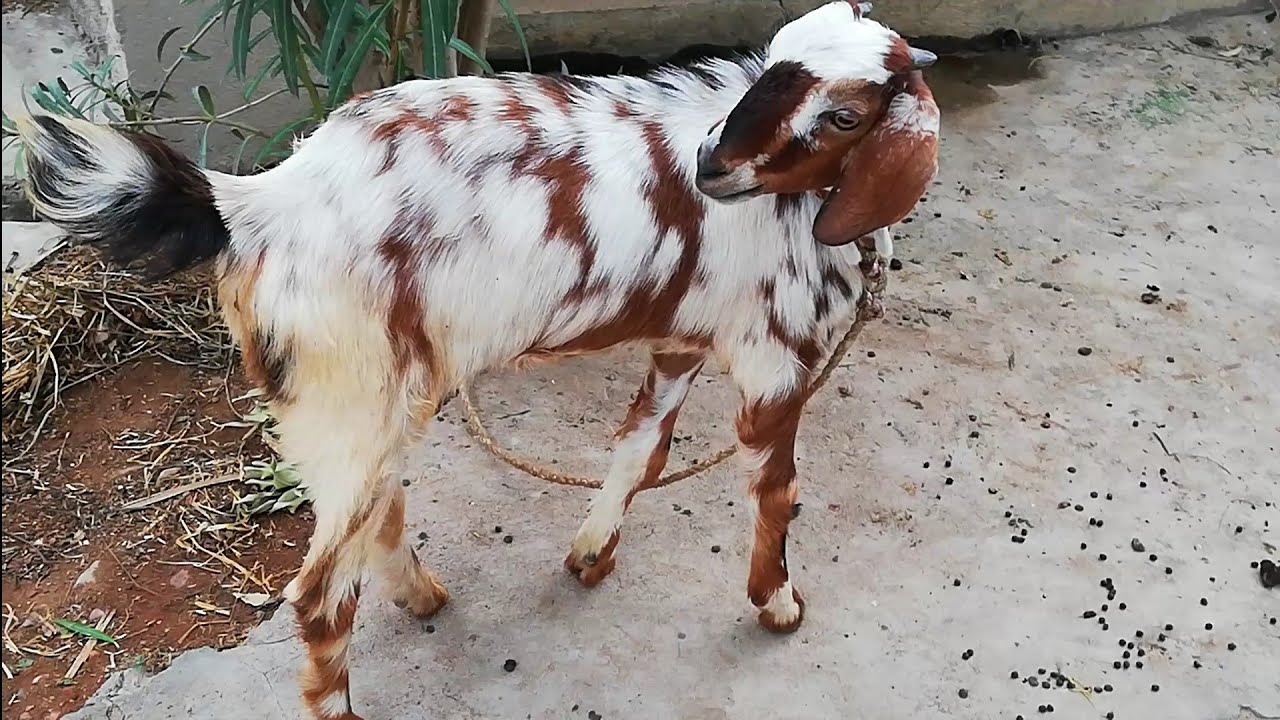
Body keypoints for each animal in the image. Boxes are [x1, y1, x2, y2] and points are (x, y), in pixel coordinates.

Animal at [16, 2, 939, 717]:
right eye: (773, 69)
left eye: (845, 114)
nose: (711, 164)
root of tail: (260, 203)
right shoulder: (776, 362)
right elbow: (778, 494)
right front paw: (779, 605)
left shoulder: (681, 341)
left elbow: (641, 449)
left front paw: (591, 555)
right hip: (350, 396)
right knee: (318, 597)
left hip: (371, 403)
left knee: (374, 514)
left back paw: (421, 593)